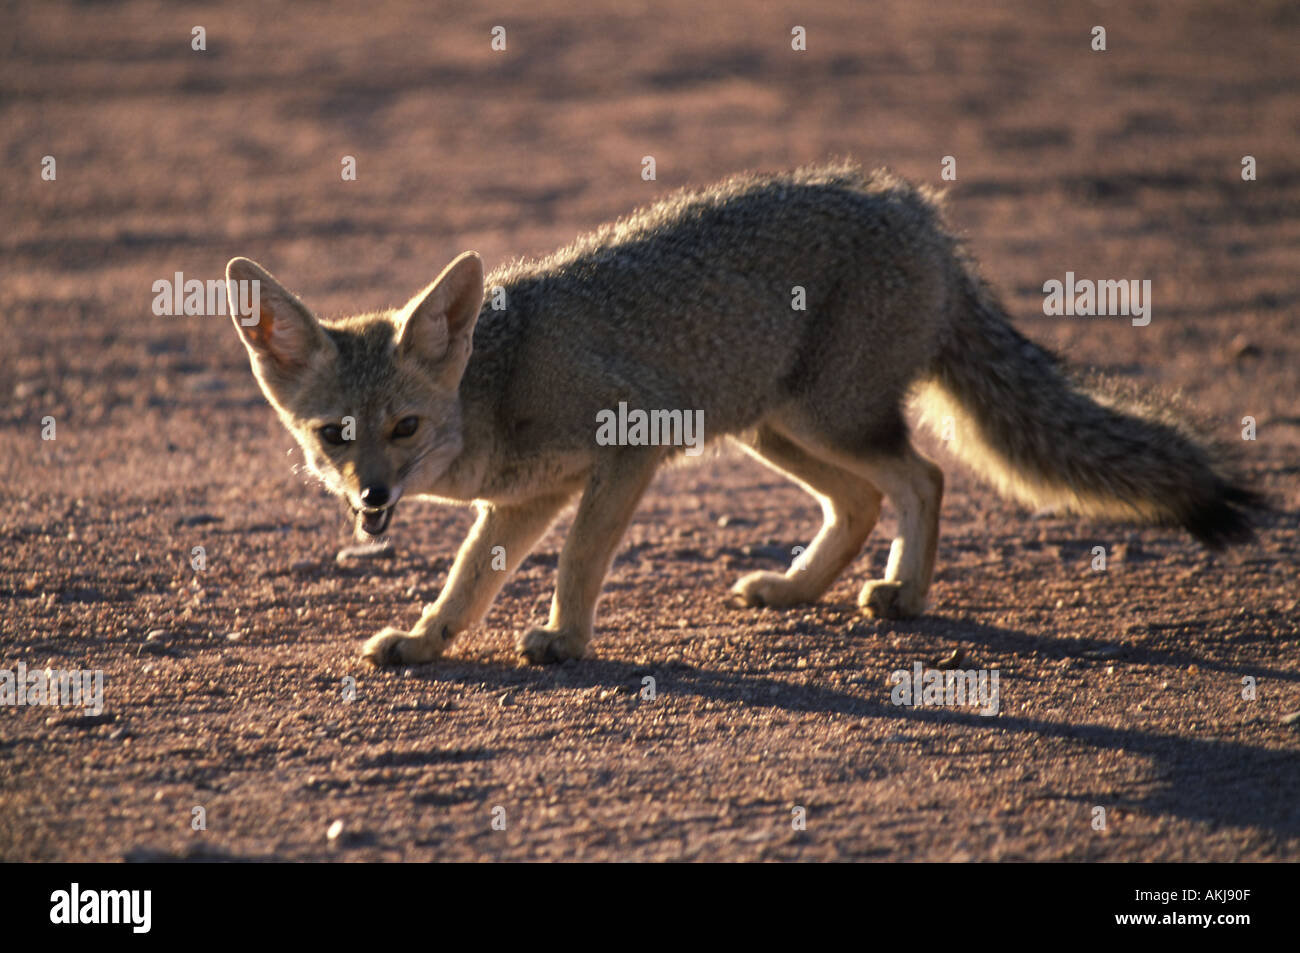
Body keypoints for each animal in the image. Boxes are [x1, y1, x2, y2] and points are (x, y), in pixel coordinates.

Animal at [225, 161, 1262, 668]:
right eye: (334, 435)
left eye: (402, 428)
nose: (372, 498)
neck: (496, 379)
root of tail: (916, 206)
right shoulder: (524, 497)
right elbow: (468, 580)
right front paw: (425, 642)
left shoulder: (624, 447)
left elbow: (579, 557)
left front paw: (566, 640)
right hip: (777, 428)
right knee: (863, 498)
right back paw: (801, 589)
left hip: (826, 418)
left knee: (923, 474)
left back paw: (906, 593)